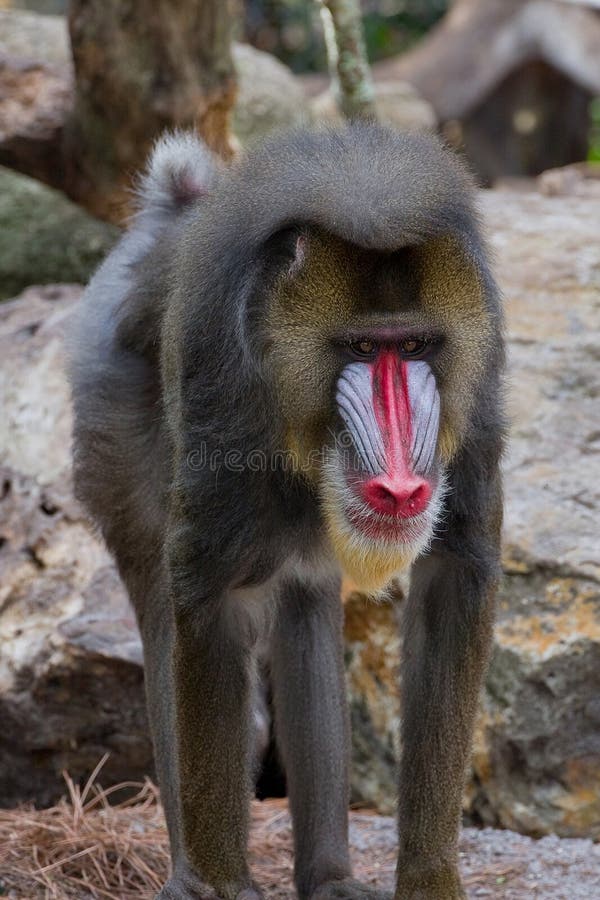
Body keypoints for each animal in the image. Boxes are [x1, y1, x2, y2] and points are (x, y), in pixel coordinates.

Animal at [69, 124, 504, 900]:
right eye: (361, 348)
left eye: (413, 346)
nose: (401, 489)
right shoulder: (219, 391)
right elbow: (206, 608)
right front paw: (218, 883)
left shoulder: (473, 401)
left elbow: (455, 577)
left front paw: (429, 880)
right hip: (115, 427)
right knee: (162, 620)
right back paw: (187, 877)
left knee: (306, 613)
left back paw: (329, 879)